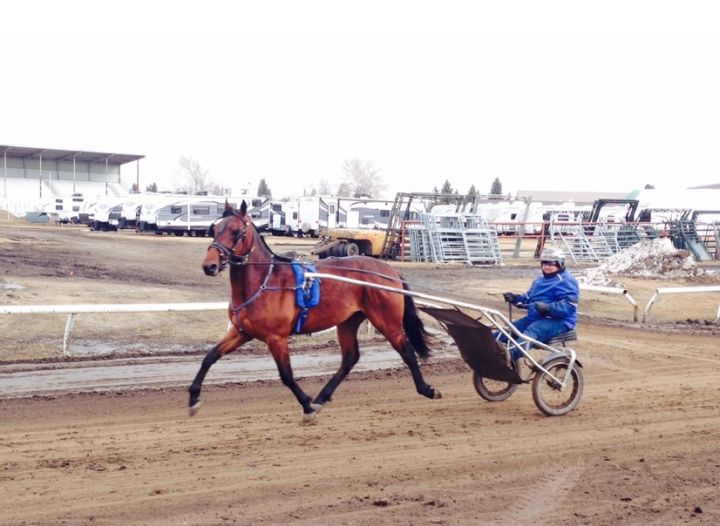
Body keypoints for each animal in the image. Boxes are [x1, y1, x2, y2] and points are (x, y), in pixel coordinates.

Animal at [188, 200, 441, 422]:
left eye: (236, 231)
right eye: (214, 229)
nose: (209, 265)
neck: (264, 282)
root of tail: (390, 270)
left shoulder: (276, 337)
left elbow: (287, 375)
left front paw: (307, 406)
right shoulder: (241, 332)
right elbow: (209, 357)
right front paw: (193, 399)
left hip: (386, 319)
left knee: (406, 350)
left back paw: (427, 389)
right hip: (348, 321)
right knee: (350, 358)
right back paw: (322, 397)